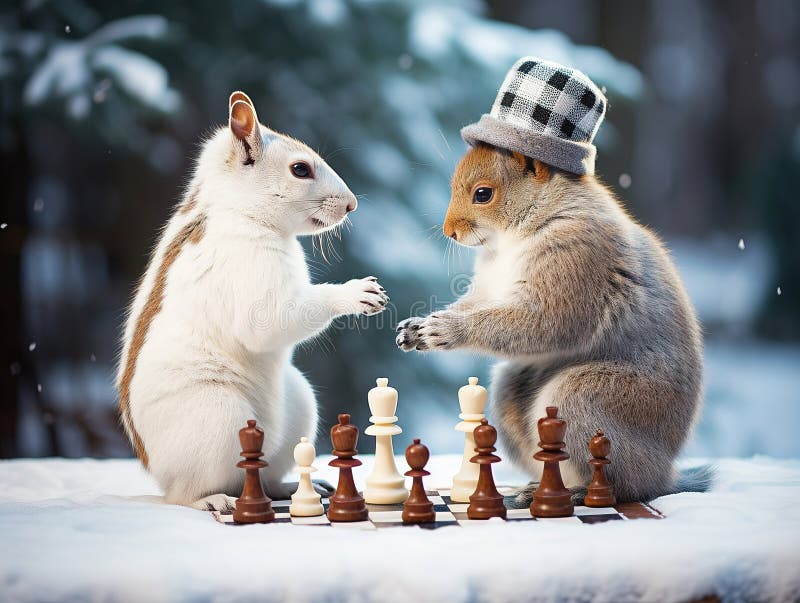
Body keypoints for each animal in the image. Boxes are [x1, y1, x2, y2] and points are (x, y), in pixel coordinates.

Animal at [117, 92, 388, 511]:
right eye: (299, 169)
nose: (352, 205)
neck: (240, 210)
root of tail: (156, 471)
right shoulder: (247, 270)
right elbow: (272, 320)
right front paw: (356, 292)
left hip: (298, 407)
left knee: (267, 475)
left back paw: (295, 488)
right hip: (216, 417)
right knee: (185, 494)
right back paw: (212, 500)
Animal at [397, 142, 711, 504]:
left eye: (483, 194)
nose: (450, 231)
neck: (513, 238)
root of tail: (665, 475)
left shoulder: (576, 257)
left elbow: (545, 322)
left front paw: (446, 330)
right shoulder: (491, 285)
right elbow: (480, 303)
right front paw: (415, 328)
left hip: (591, 400)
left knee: (627, 485)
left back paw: (580, 493)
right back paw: (538, 488)